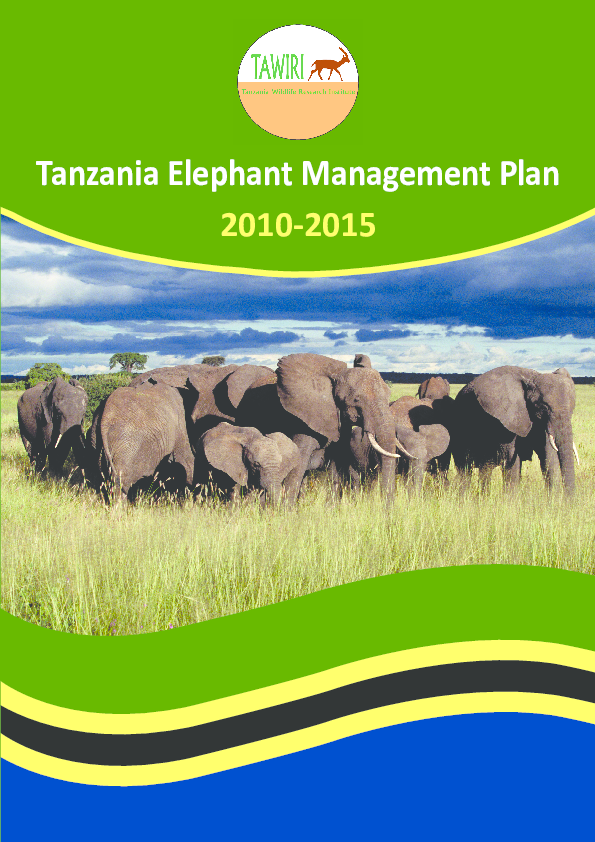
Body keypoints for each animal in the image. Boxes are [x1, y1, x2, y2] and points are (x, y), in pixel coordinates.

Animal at [235, 353, 410, 504]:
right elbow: (297, 466)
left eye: (388, 395)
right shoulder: (303, 420)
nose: (388, 512)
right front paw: (286, 513)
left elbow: (336, 468)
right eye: (356, 400)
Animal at [451, 366, 578, 495]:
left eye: (573, 407)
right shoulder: (504, 421)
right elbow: (511, 459)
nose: (570, 499)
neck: (531, 377)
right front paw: (511, 499)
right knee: (465, 469)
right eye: (543, 407)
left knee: (485, 469)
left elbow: (549, 456)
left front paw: (553, 499)